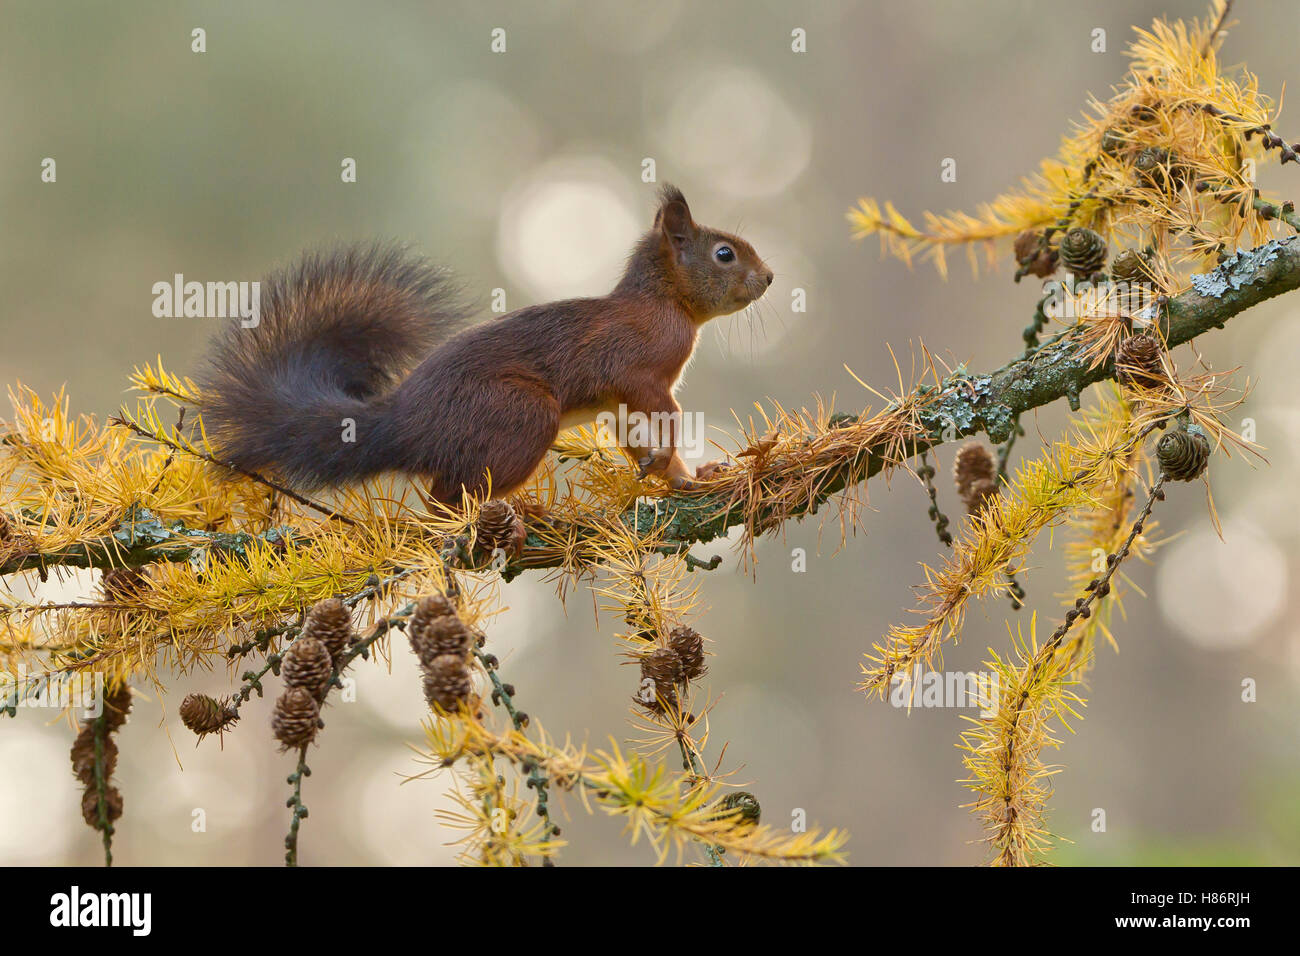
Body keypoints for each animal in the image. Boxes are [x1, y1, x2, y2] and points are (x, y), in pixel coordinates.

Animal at [198, 184, 773, 504]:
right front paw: (672, 459)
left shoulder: (622, 403)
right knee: (443, 502)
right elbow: (665, 416)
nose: (769, 278)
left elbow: (636, 437)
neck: (665, 302)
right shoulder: (634, 368)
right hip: (518, 415)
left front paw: (685, 479)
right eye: (724, 254)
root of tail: (402, 422)